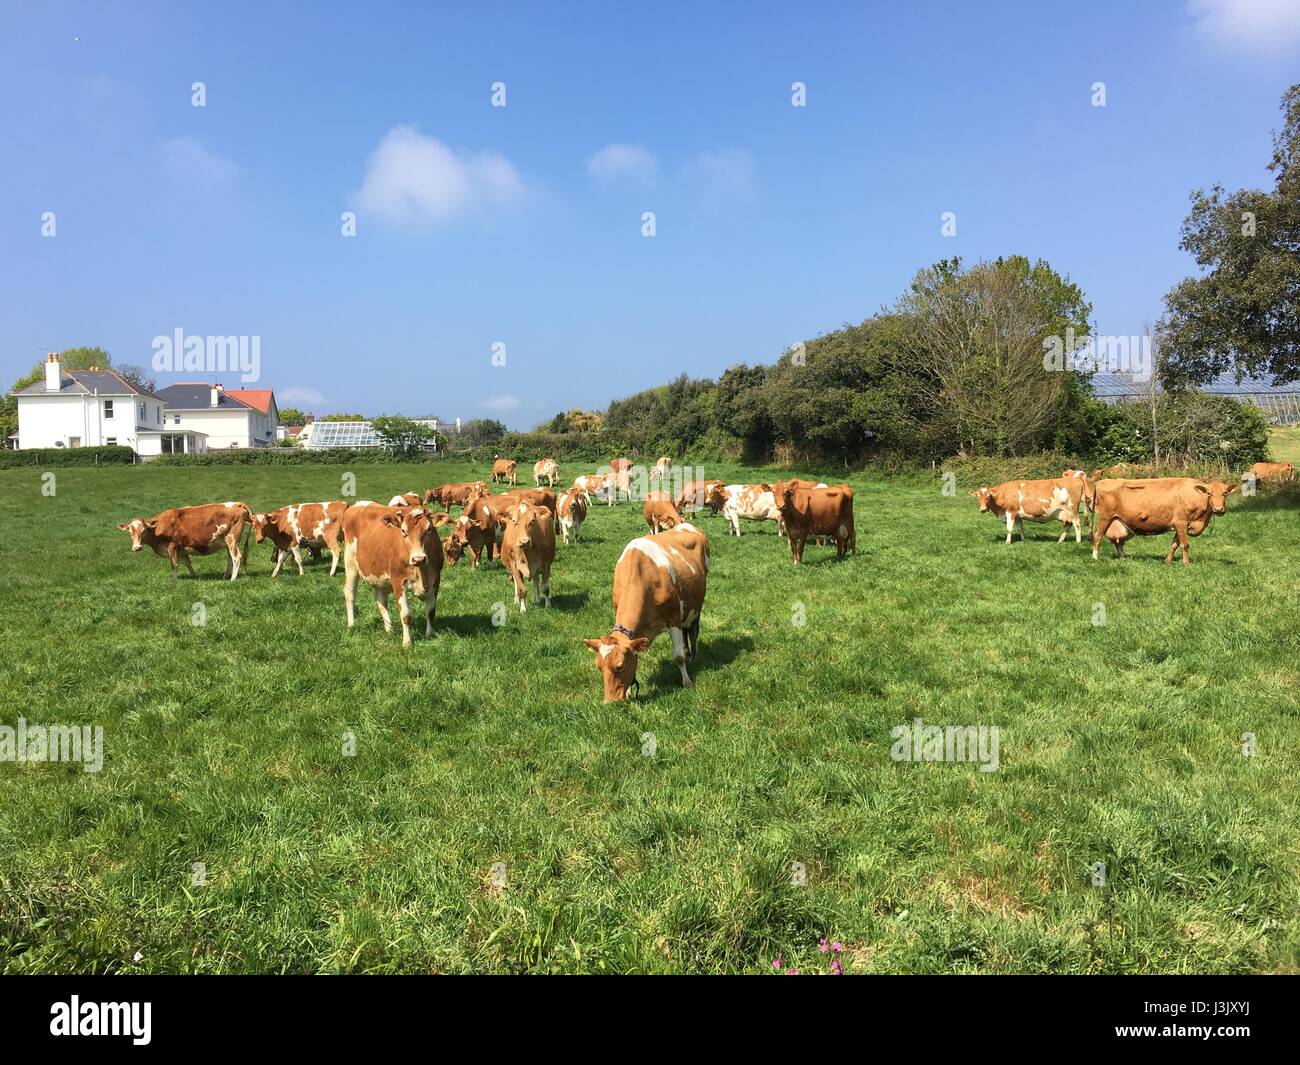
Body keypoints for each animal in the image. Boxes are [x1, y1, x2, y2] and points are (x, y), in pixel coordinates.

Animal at [117, 502, 252, 580]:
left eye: (143, 530)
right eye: (130, 532)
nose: (137, 547)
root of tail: (236, 504)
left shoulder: (172, 546)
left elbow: (174, 564)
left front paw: (174, 580)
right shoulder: (181, 549)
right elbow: (188, 563)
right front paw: (195, 576)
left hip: (232, 539)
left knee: (236, 558)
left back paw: (232, 579)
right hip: (228, 541)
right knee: (230, 558)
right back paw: (225, 576)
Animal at [342, 502, 449, 646]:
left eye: (429, 529)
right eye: (403, 531)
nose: (418, 559)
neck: (422, 574)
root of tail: (358, 504)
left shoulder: (436, 580)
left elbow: (430, 611)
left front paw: (429, 635)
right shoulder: (398, 581)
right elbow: (406, 615)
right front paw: (407, 642)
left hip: (378, 577)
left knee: (381, 602)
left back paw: (389, 629)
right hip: (350, 563)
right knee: (350, 593)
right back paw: (352, 625)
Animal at [583, 524, 709, 702]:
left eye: (620, 666)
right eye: (598, 666)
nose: (610, 701)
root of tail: (685, 525)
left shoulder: (674, 619)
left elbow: (678, 657)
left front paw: (687, 682)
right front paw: (629, 691)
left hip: (696, 606)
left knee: (693, 631)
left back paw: (693, 657)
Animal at [1090, 477, 1238, 565]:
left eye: (1225, 493)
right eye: (1209, 493)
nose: (1218, 509)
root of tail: (1101, 482)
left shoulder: (1180, 525)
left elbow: (1174, 544)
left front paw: (1168, 561)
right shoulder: (1181, 522)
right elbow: (1185, 544)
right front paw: (1186, 563)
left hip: (1118, 521)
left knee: (1118, 542)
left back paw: (1123, 558)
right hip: (1105, 517)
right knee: (1098, 536)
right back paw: (1095, 558)